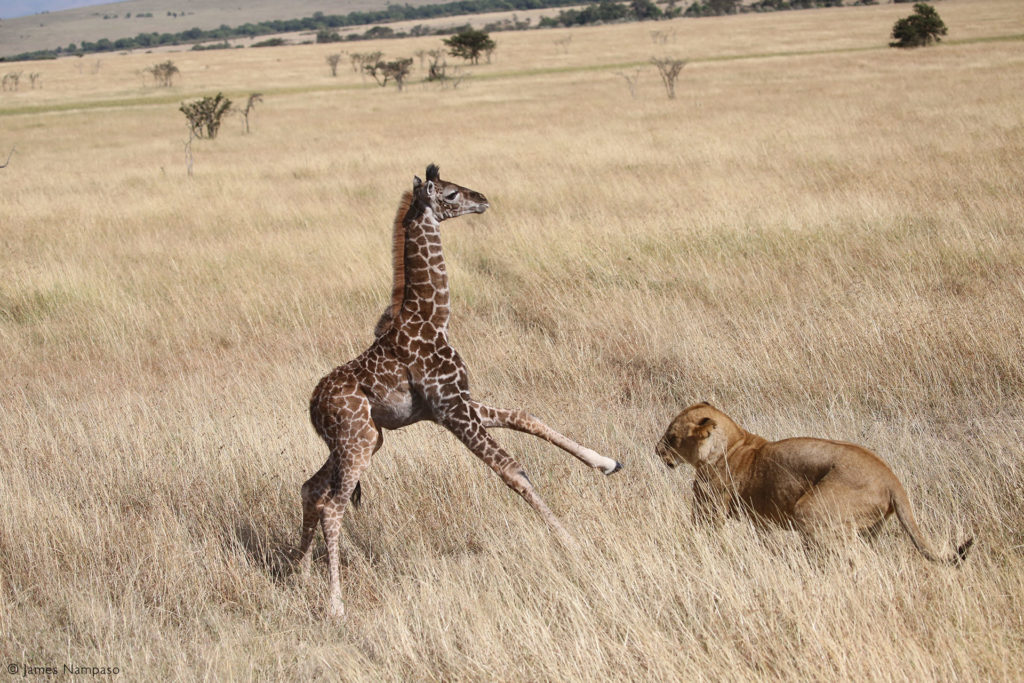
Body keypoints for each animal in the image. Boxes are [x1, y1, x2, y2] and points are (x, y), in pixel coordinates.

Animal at [298, 164, 623, 616]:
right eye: (450, 194)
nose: (482, 198)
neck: (433, 319)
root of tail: (312, 406)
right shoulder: (452, 409)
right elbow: (513, 470)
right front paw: (571, 542)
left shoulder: (459, 402)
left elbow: (528, 417)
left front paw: (607, 463)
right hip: (357, 441)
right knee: (332, 505)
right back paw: (335, 605)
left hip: (364, 439)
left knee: (310, 489)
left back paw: (297, 573)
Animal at [655, 402, 973, 565]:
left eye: (672, 437)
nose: (656, 450)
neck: (731, 443)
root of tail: (892, 479)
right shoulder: (762, 522)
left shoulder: (709, 512)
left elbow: (699, 534)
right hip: (867, 528)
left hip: (812, 511)